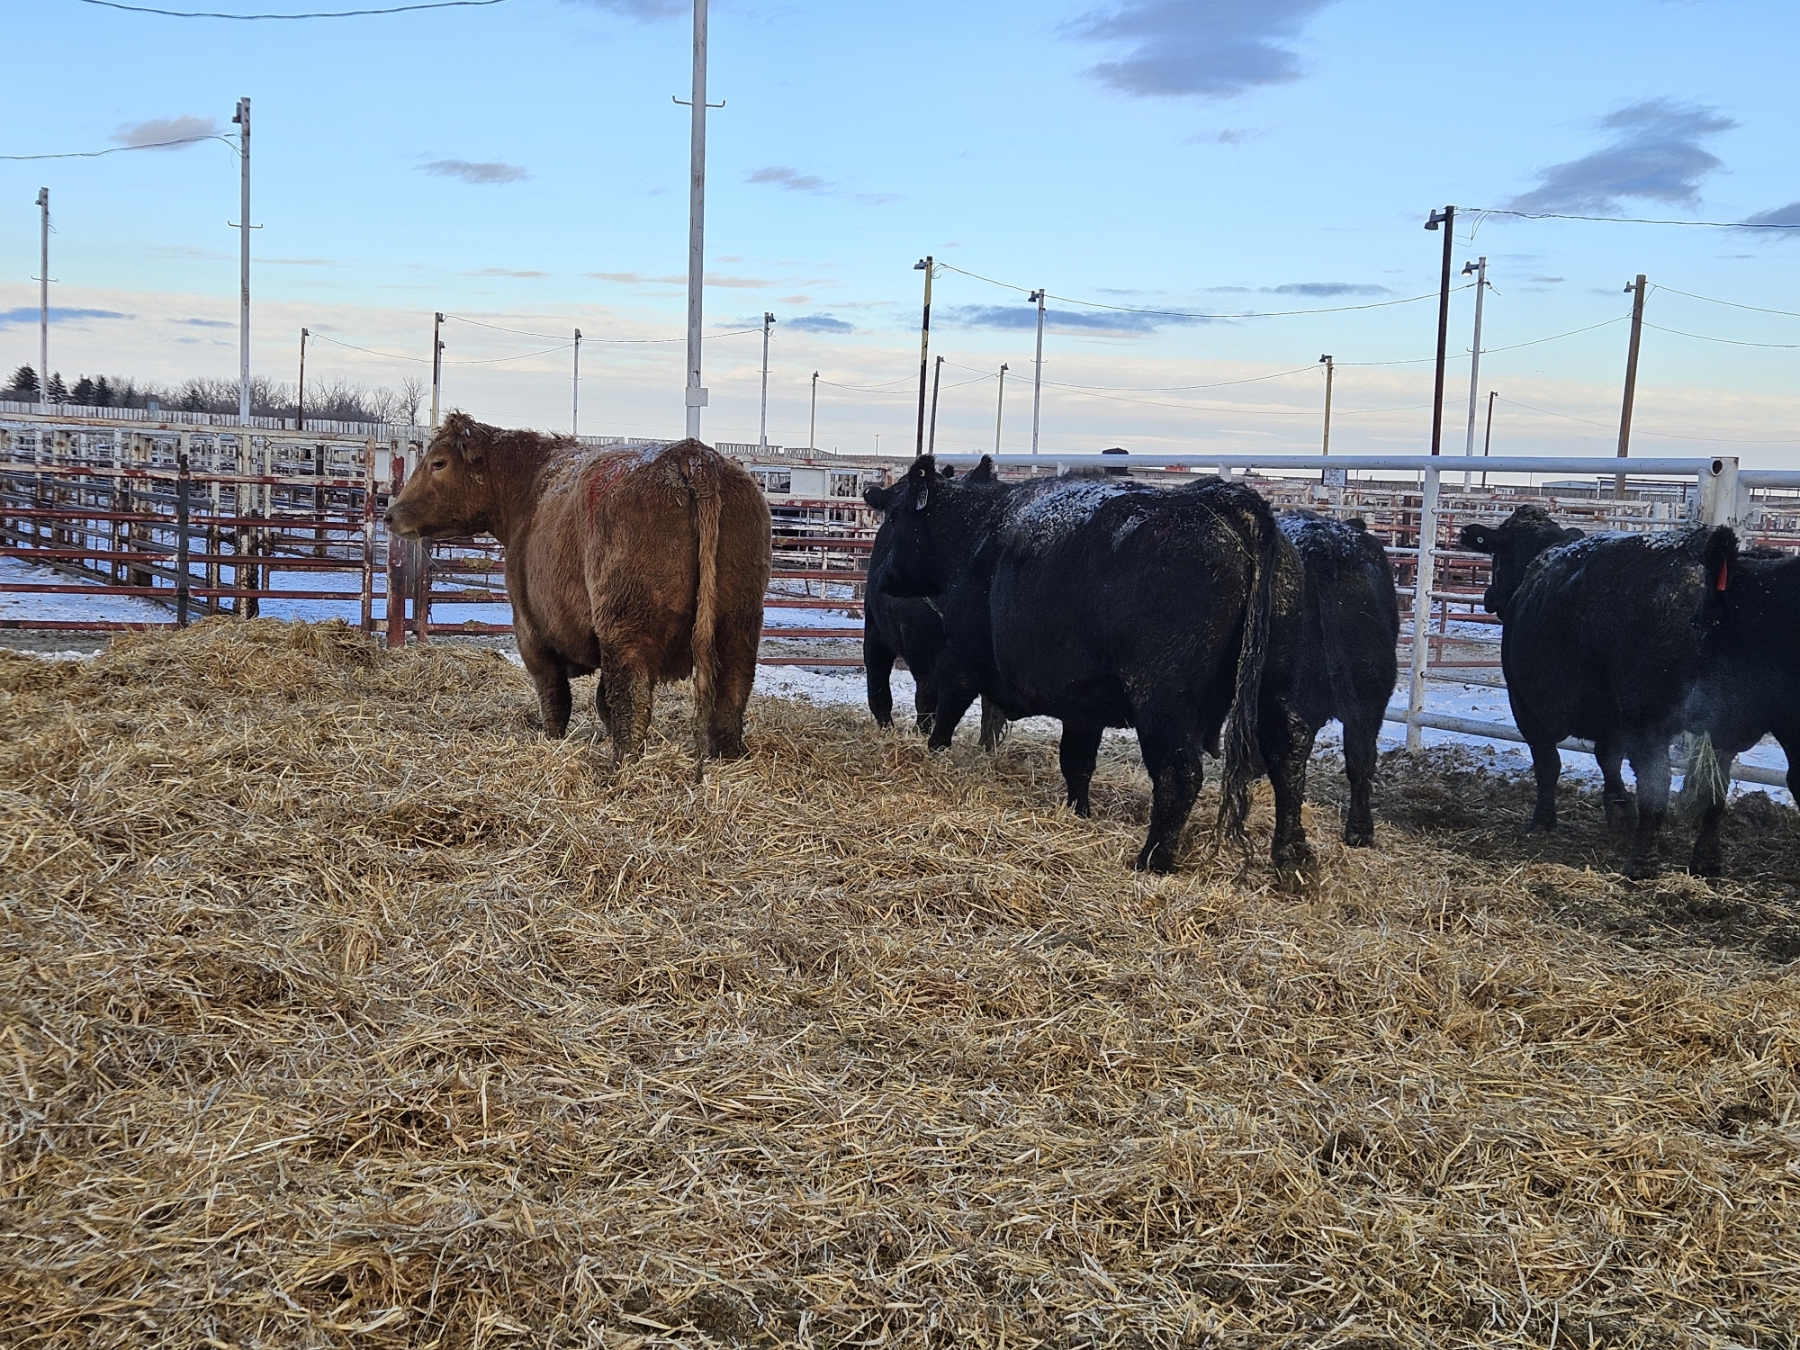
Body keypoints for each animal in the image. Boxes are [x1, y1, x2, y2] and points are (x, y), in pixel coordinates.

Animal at [384, 413, 770, 773]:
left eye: (438, 463)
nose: (390, 515)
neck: (528, 487)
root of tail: (691, 455)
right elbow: (600, 702)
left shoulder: (531, 633)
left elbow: (557, 700)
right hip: (738, 625)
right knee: (731, 698)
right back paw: (728, 759)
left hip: (627, 629)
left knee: (632, 702)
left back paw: (621, 769)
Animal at [1458, 505, 1733, 877]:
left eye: (1497, 555)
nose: (1488, 596)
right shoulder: (1610, 721)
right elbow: (1608, 759)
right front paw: (1619, 808)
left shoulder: (1526, 706)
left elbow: (1548, 764)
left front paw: (1543, 821)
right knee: (1716, 786)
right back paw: (1707, 859)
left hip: (1648, 721)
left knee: (1657, 783)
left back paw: (1641, 861)